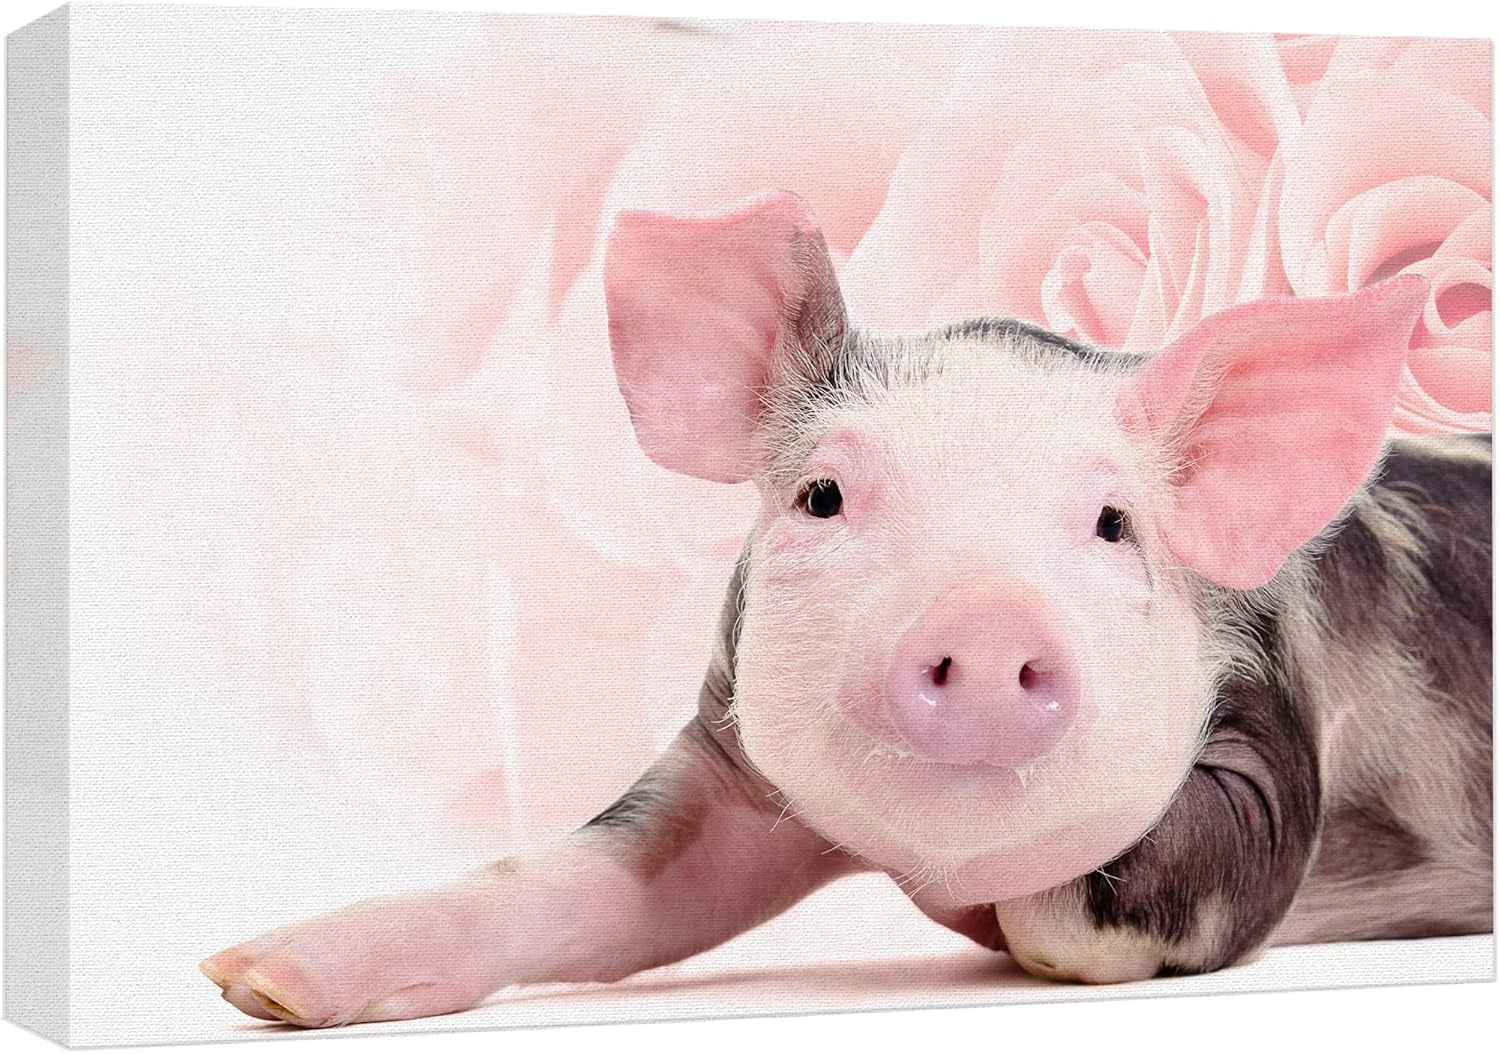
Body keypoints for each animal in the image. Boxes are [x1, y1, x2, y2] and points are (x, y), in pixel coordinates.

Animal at [201, 191, 1492, 1027]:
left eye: (1115, 523)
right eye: (823, 494)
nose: (985, 620)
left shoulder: (1274, 755)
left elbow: (1090, 903)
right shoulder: (726, 773)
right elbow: (586, 872)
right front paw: (258, 980)